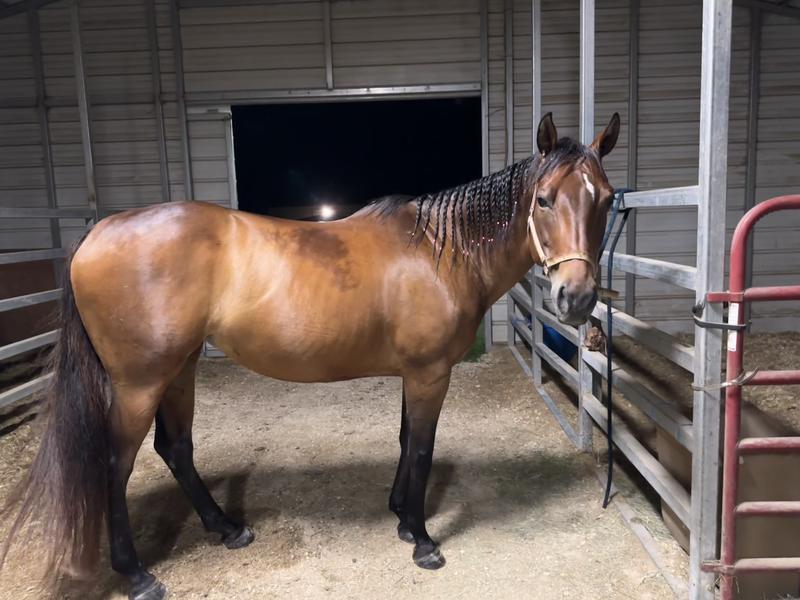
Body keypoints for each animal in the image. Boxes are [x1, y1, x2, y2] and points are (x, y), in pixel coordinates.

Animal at [0, 112, 619, 600]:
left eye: (607, 200)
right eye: (544, 199)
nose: (577, 297)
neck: (439, 254)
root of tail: (97, 233)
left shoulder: (413, 375)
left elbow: (404, 441)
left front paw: (399, 516)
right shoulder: (429, 375)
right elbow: (421, 449)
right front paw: (422, 541)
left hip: (179, 370)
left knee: (175, 449)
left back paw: (228, 529)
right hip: (138, 383)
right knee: (116, 464)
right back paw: (137, 577)